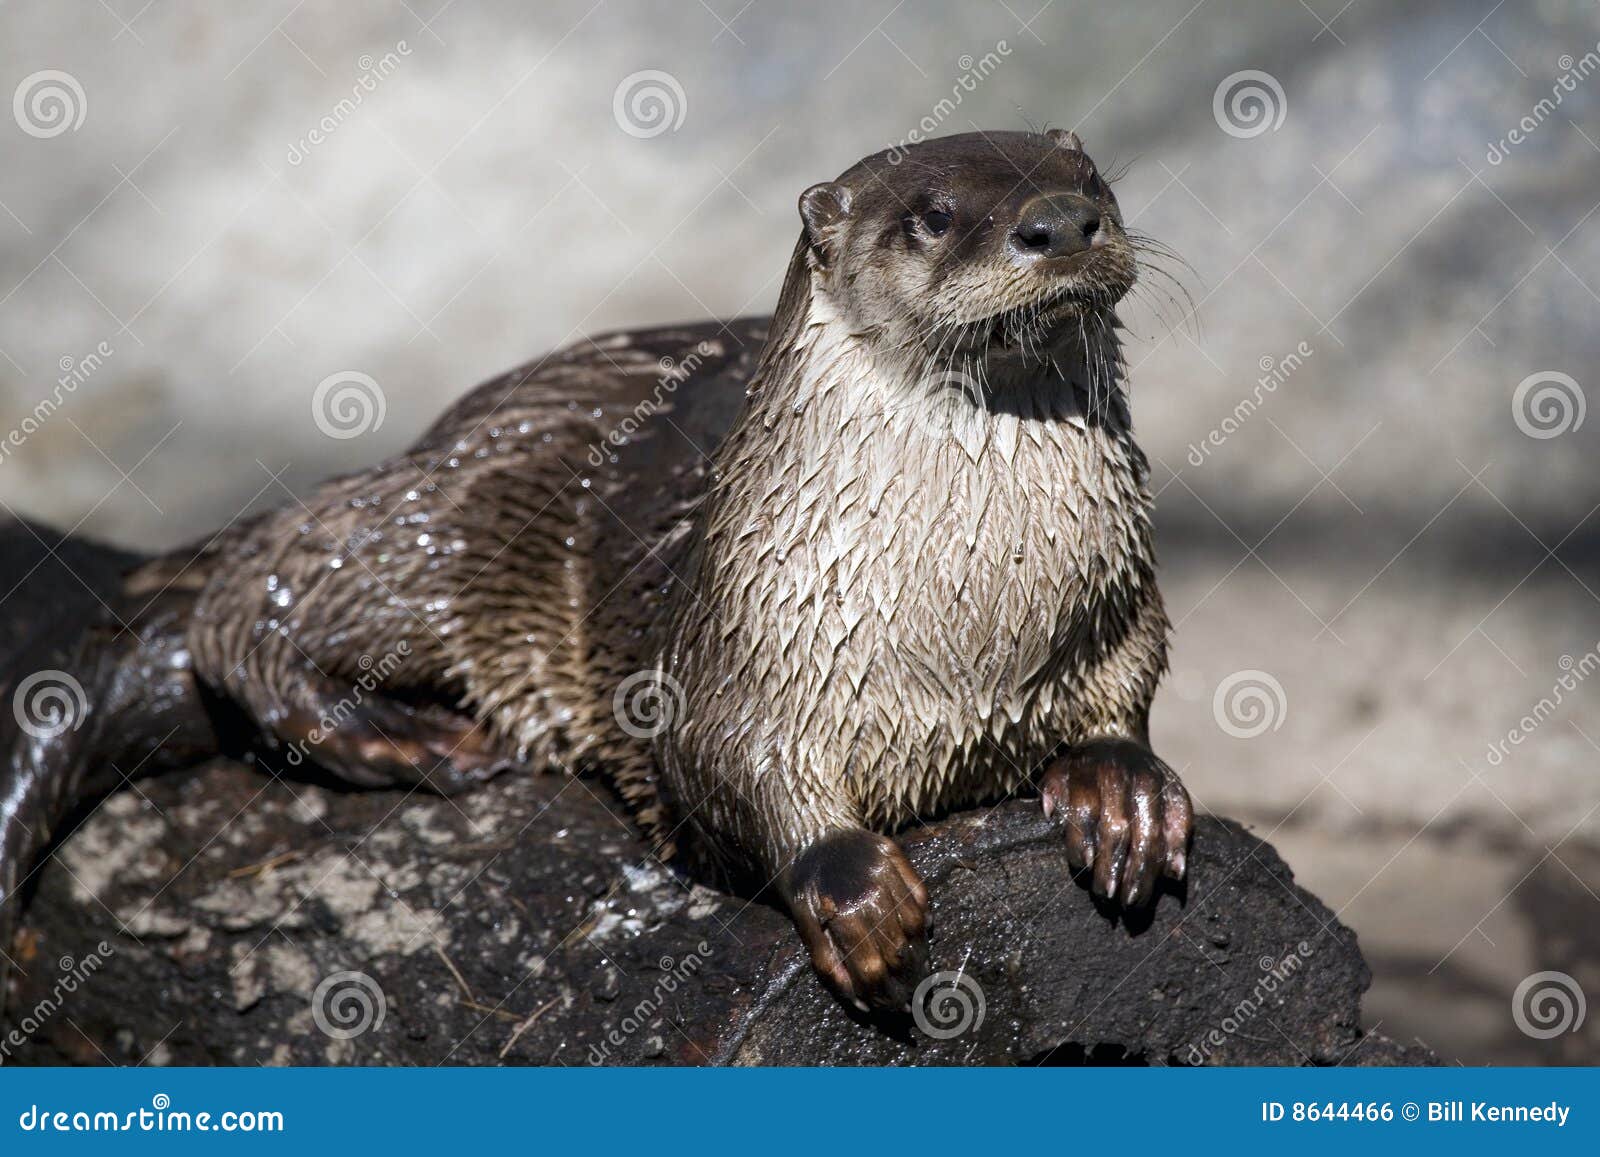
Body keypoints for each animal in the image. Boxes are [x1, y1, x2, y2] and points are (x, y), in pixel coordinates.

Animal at [0, 129, 1190, 1012]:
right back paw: (398, 733)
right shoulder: (741, 633)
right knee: (248, 594)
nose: (1060, 221)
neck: (966, 637)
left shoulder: (1120, 607)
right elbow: (723, 757)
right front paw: (849, 882)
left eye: (1092, 178)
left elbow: (1127, 687)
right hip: (455, 512)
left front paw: (1120, 785)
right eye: (933, 213)